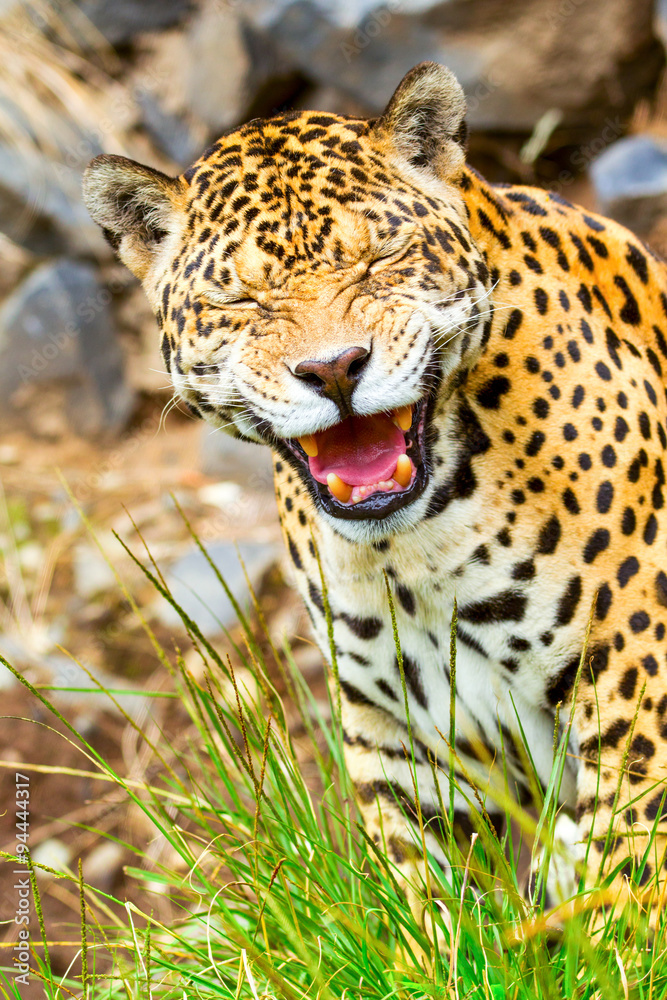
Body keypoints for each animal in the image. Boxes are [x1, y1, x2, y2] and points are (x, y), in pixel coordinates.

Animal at [84, 62, 667, 933]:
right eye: (242, 302)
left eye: (381, 259)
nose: (332, 369)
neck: (415, 550)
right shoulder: (401, 734)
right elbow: (429, 904)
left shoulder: (631, 682)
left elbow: (627, 884)